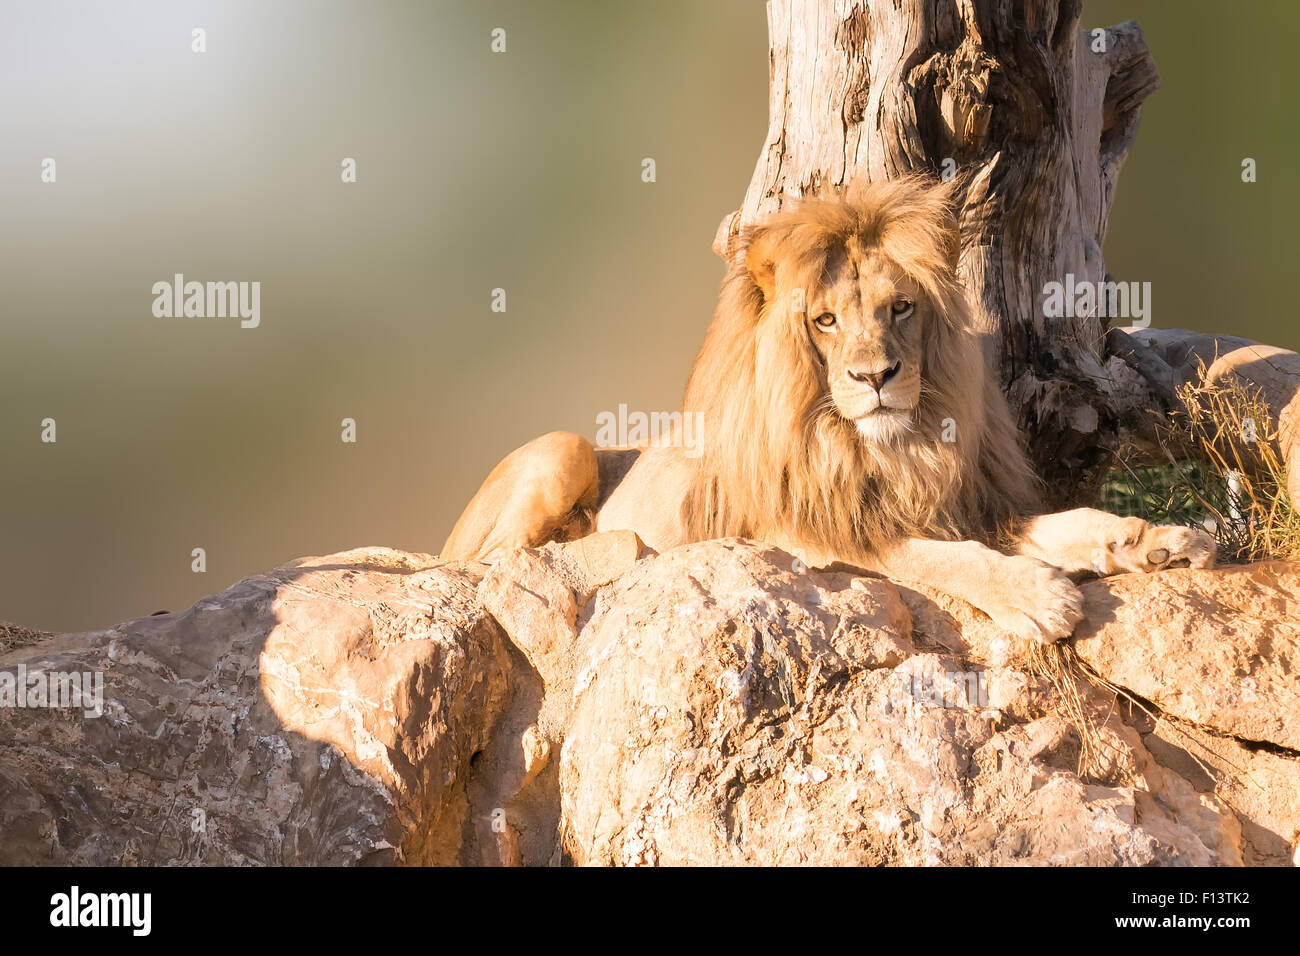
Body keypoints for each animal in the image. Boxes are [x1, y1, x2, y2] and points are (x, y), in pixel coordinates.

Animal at [442, 177, 1214, 642]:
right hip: (562, 449)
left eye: (900, 308)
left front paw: (1160, 541)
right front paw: (1036, 595)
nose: (876, 376)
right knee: (490, 564)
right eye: (825, 321)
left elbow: (1068, 523)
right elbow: (934, 556)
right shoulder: (807, 530)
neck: (888, 447)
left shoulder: (972, 506)